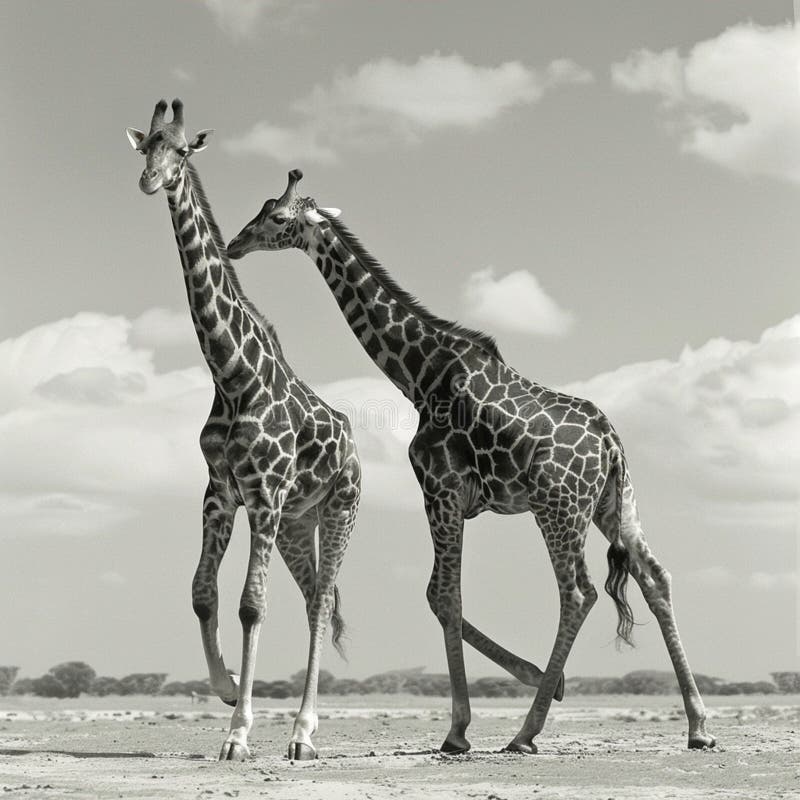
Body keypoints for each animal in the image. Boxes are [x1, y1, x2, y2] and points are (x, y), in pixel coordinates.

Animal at [126, 104, 361, 761]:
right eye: (147, 147)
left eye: (182, 151)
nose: (150, 181)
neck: (232, 374)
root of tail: (354, 443)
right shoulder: (220, 492)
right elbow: (203, 594)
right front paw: (228, 689)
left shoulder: (265, 493)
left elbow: (252, 605)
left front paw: (239, 734)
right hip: (297, 524)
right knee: (311, 599)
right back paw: (303, 728)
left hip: (337, 508)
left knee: (323, 598)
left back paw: (303, 734)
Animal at [226, 170, 717, 755]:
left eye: (277, 218)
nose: (234, 243)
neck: (420, 374)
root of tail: (610, 442)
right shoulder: (456, 499)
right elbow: (442, 596)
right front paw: (523, 690)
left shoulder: (438, 487)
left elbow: (443, 594)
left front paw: (460, 728)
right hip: (612, 505)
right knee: (654, 577)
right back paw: (698, 725)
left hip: (558, 506)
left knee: (578, 591)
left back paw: (527, 731)